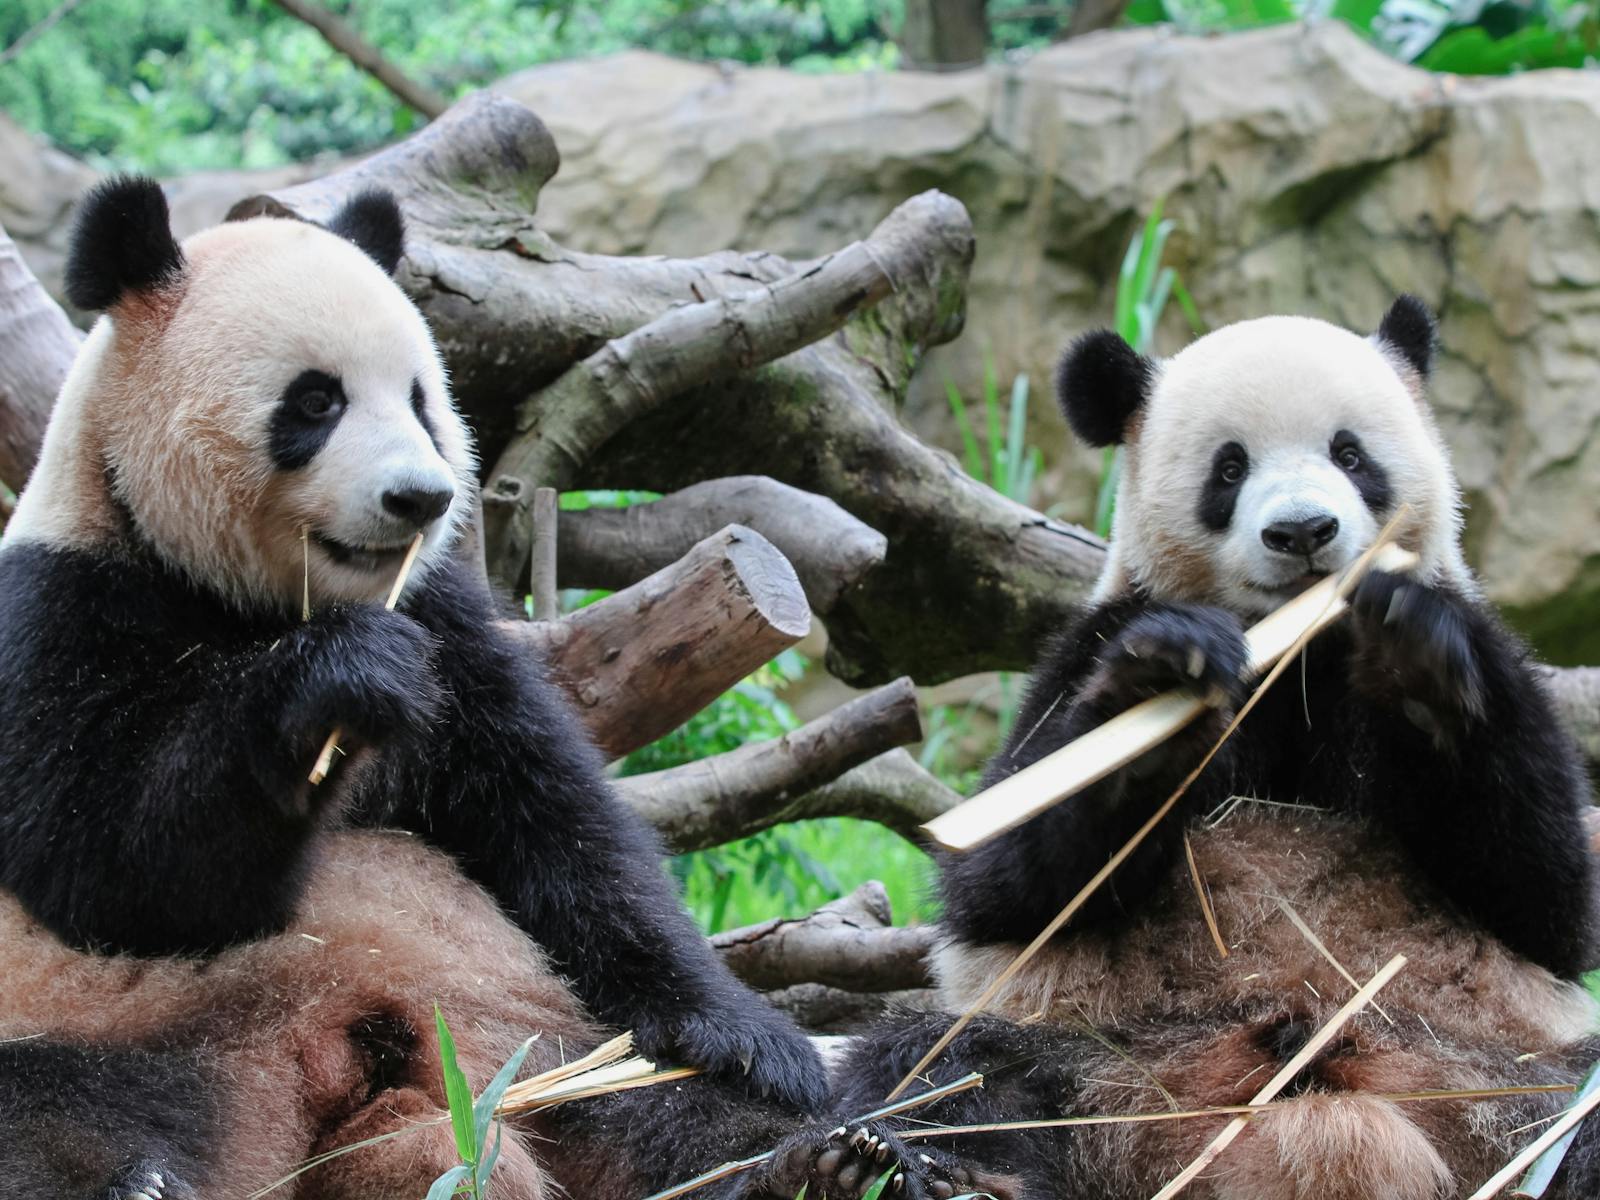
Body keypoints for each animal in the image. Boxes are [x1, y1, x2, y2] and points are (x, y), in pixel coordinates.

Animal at [0, 176, 830, 1198]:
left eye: (422, 399)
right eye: (315, 400)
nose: (421, 498)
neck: (245, 600)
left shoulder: (452, 631)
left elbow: (559, 831)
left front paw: (747, 1037)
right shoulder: (60, 611)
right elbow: (114, 877)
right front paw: (340, 682)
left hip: (533, 1040)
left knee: (649, 1107)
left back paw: (814, 1159)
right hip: (104, 1024)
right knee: (64, 1101)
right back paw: (137, 1178)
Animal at [757, 300, 1600, 1200]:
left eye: (1350, 452)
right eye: (1229, 468)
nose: (1303, 531)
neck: (1297, 650)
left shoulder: (1490, 658)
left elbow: (1546, 895)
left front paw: (1418, 666)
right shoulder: (1088, 646)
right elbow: (1003, 885)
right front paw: (1165, 686)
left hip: (1490, 1072)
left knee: (1573, 1108)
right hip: (1100, 1058)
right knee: (948, 1068)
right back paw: (892, 1168)